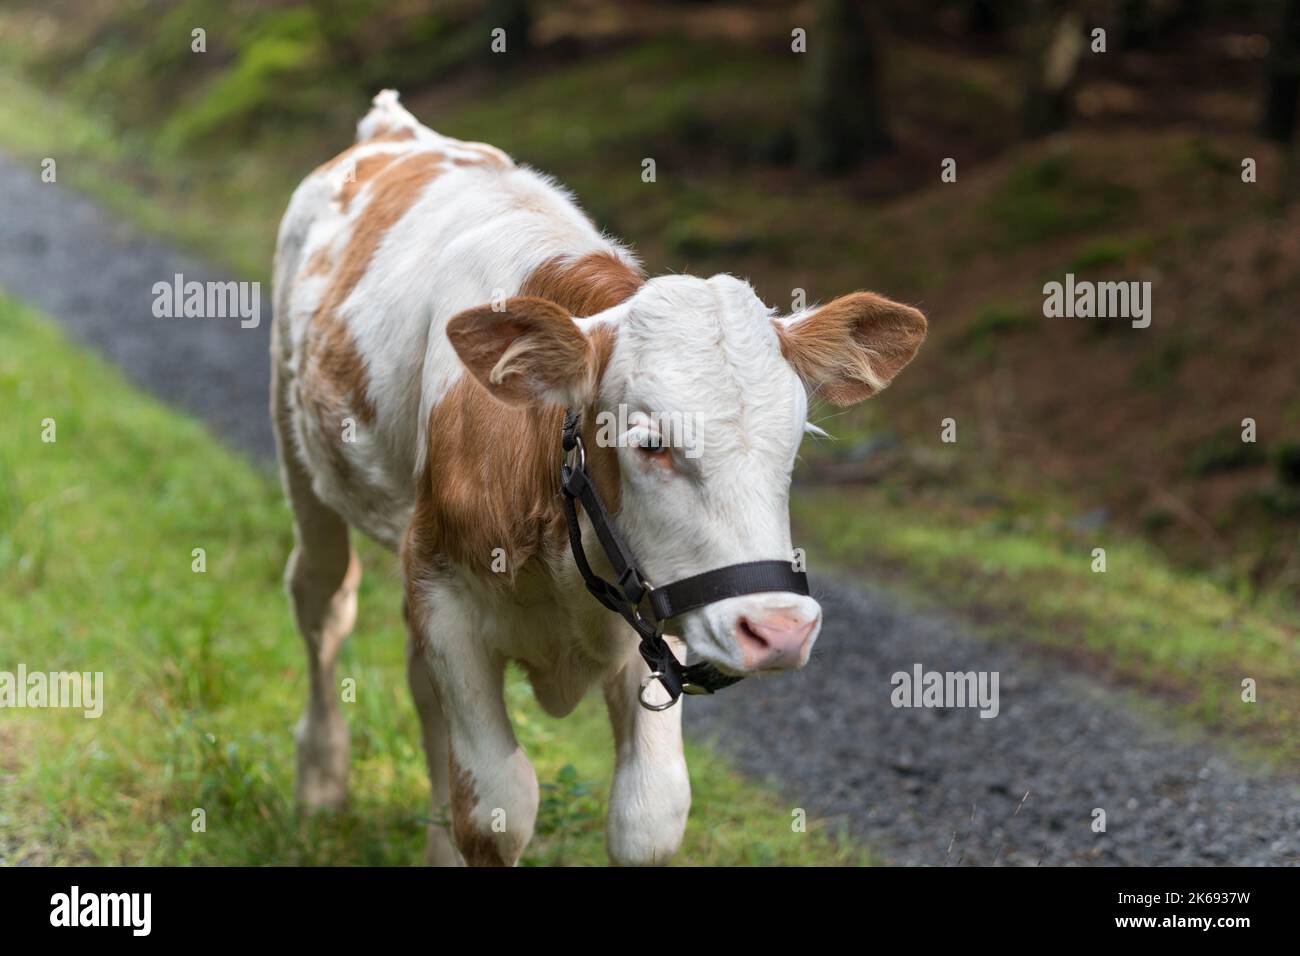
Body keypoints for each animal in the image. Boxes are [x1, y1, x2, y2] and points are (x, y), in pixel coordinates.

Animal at [271, 90, 927, 866]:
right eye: (650, 443)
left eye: (793, 442)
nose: (779, 630)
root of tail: (396, 129)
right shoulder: (443, 589)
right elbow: (497, 805)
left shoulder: (662, 604)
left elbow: (649, 813)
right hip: (299, 454)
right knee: (322, 599)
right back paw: (318, 784)